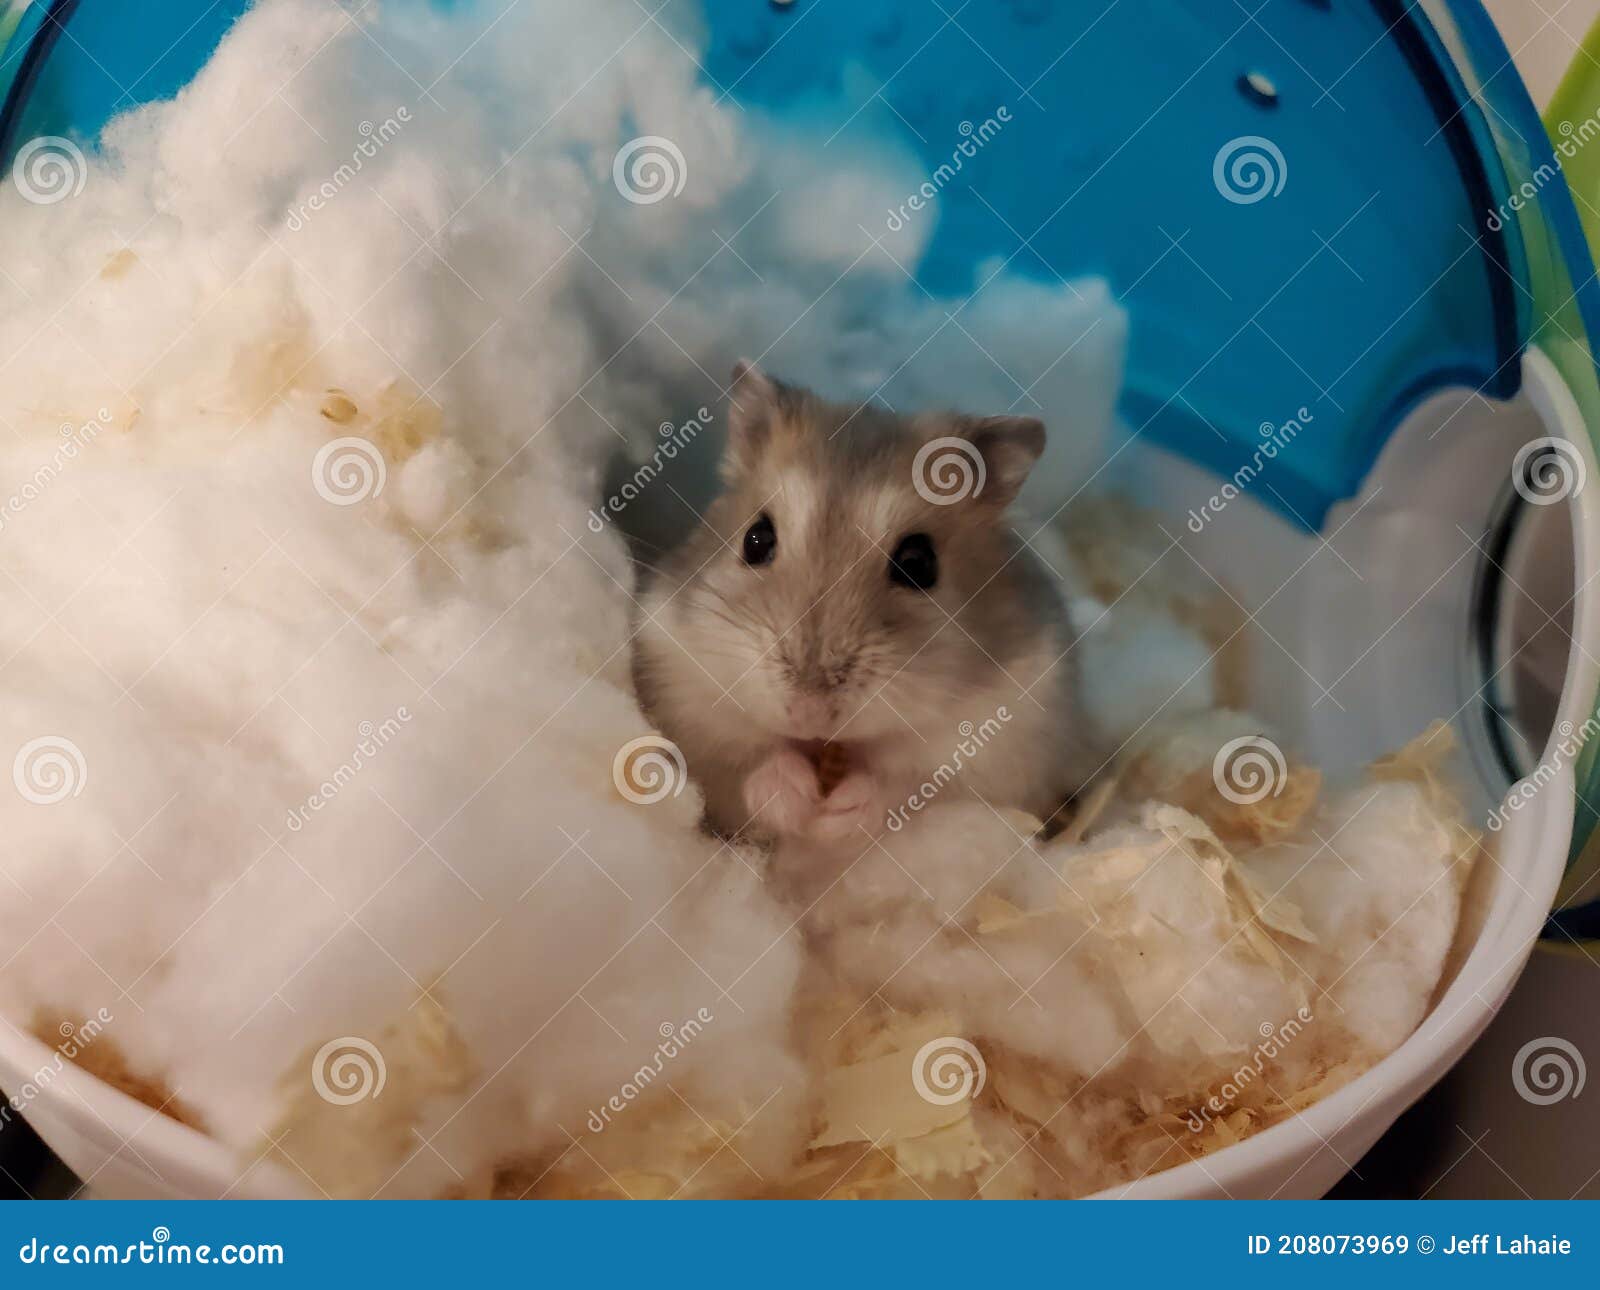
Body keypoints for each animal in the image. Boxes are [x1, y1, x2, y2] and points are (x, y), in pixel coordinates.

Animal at [633, 360, 1083, 847]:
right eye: (756, 540)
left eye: (919, 563)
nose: (809, 712)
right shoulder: (685, 704)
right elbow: (741, 767)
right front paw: (797, 798)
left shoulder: (1002, 745)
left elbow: (912, 787)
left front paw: (837, 816)